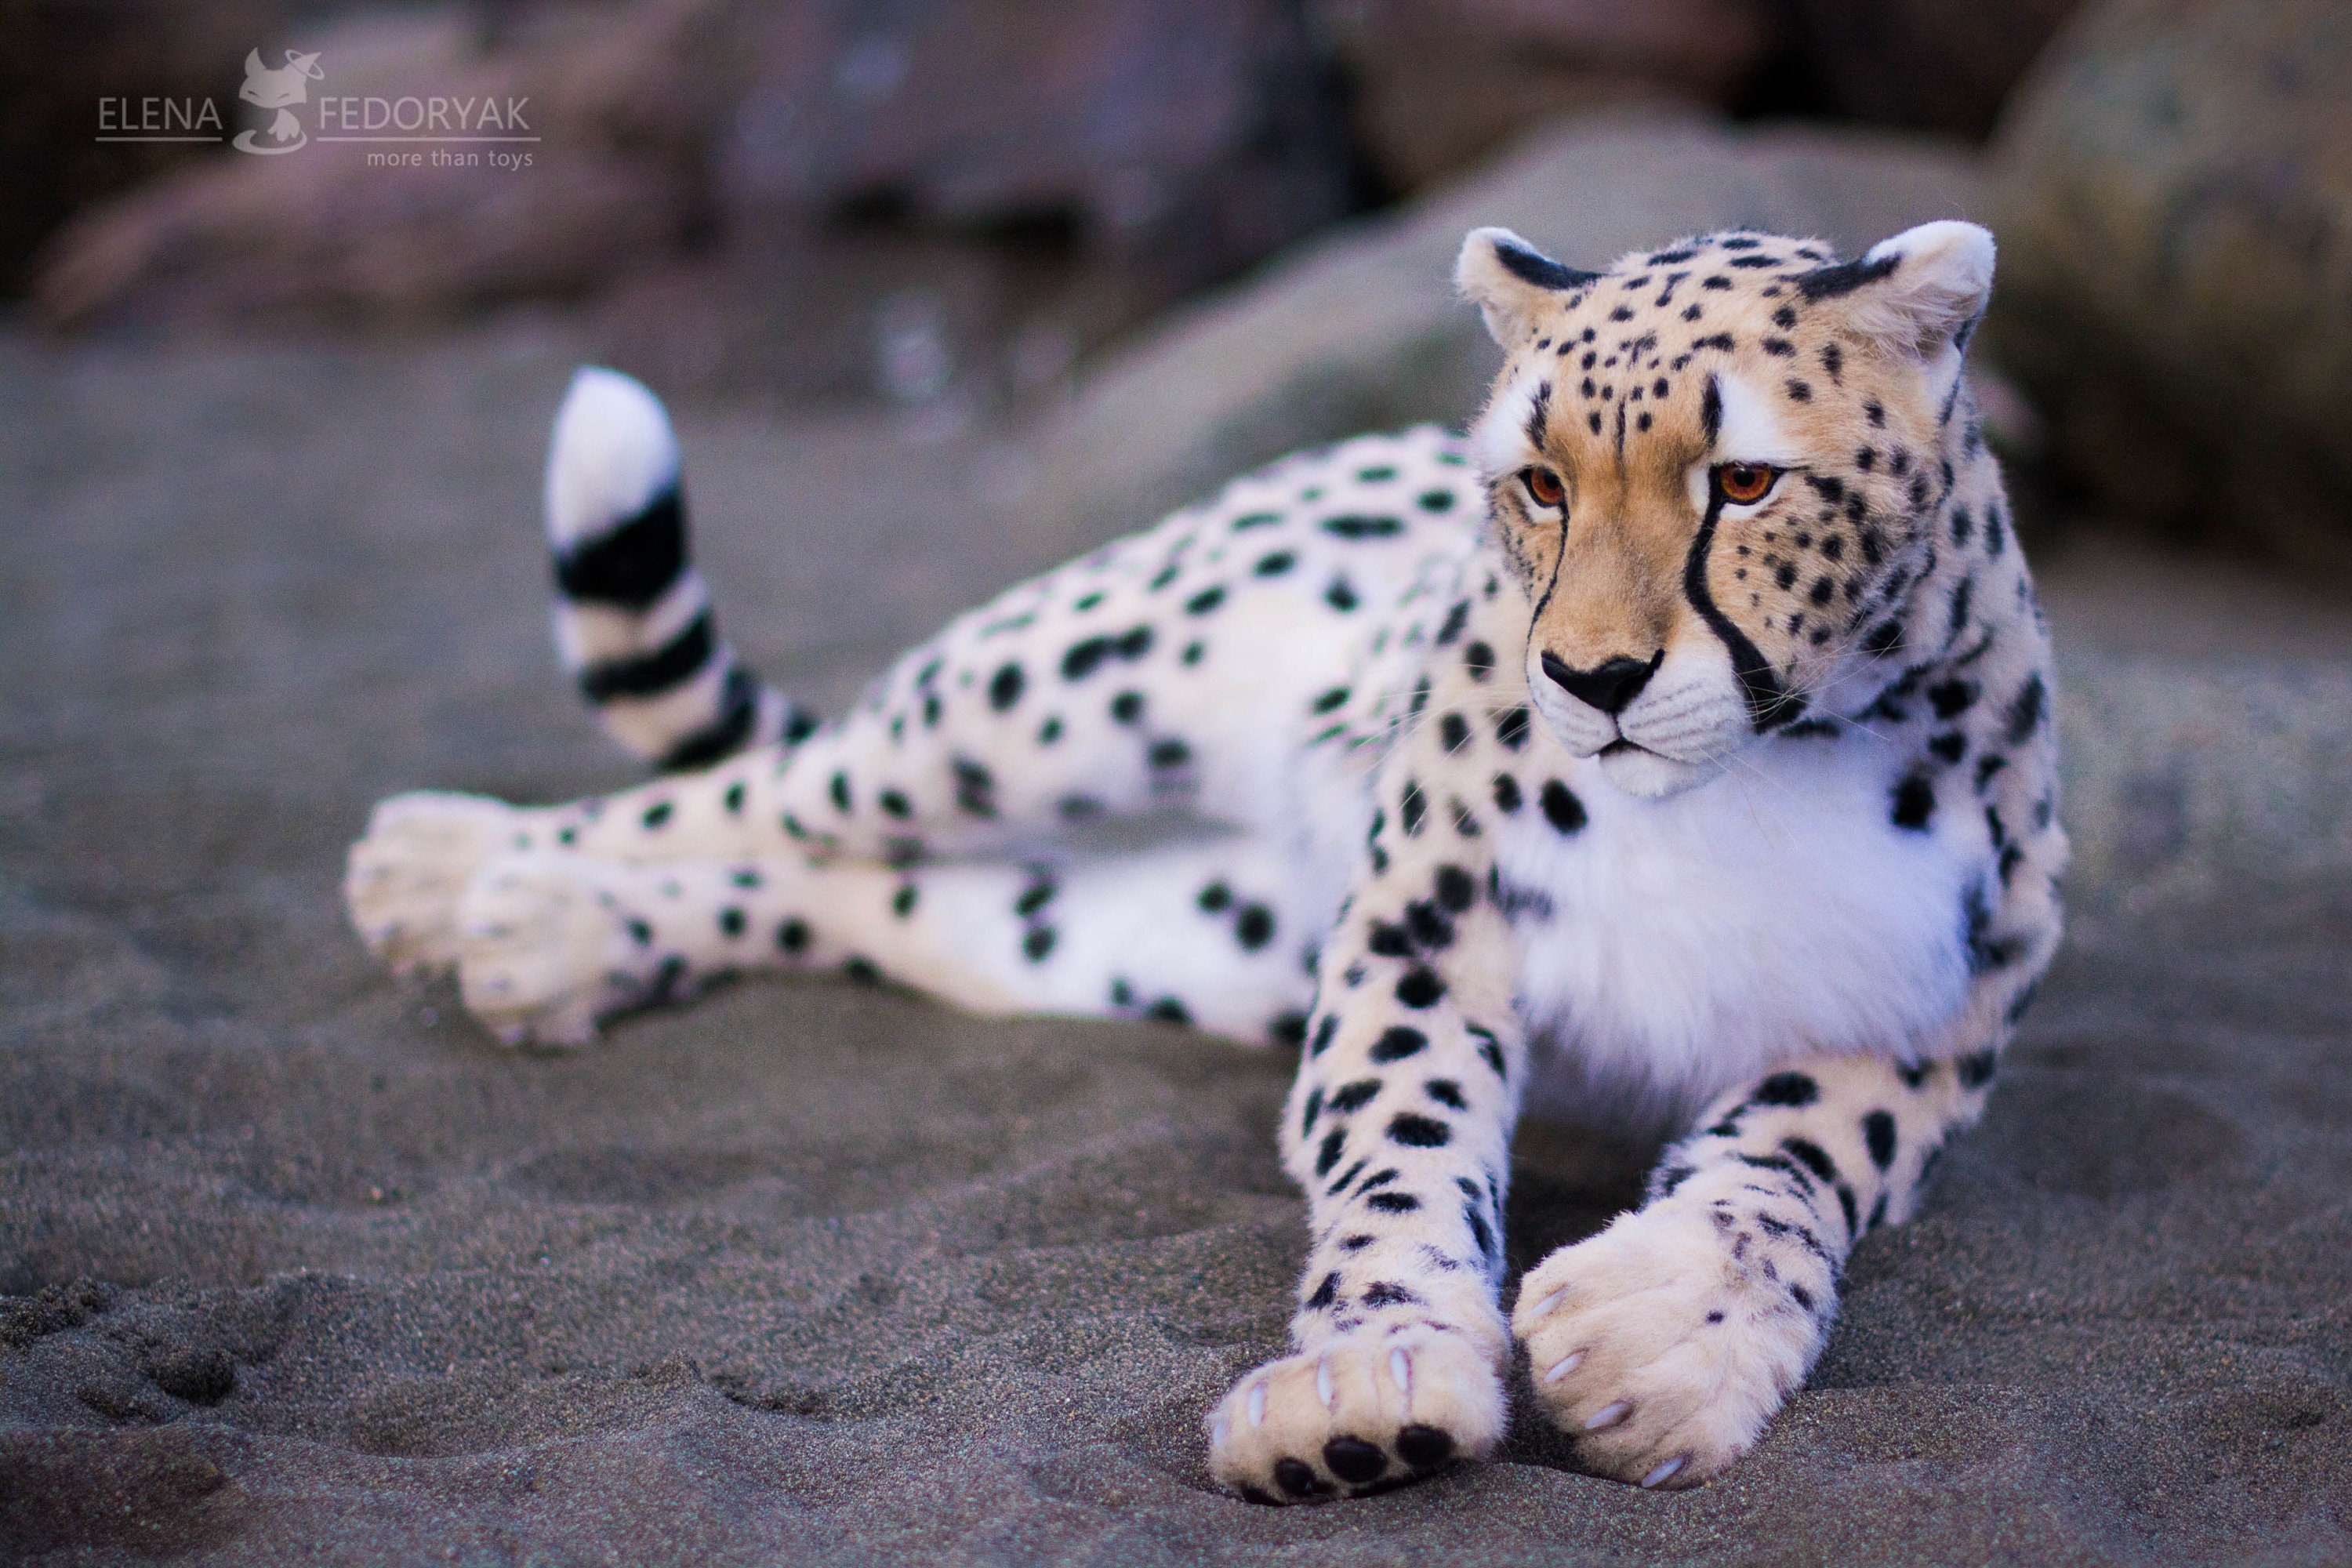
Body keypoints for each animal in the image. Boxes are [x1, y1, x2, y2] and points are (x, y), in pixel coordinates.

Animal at [344, 218, 2064, 1501]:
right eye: (1541, 484)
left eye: (1746, 481)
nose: (1589, 678)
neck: (1753, 762)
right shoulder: (1419, 940)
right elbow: (1402, 1153)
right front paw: (1364, 1383)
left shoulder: (1934, 1027)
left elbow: (1789, 1163)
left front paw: (1667, 1341)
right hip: (1050, 693)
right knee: (788, 786)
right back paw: (469, 872)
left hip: (1179, 936)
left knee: (902, 897)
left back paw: (543, 933)